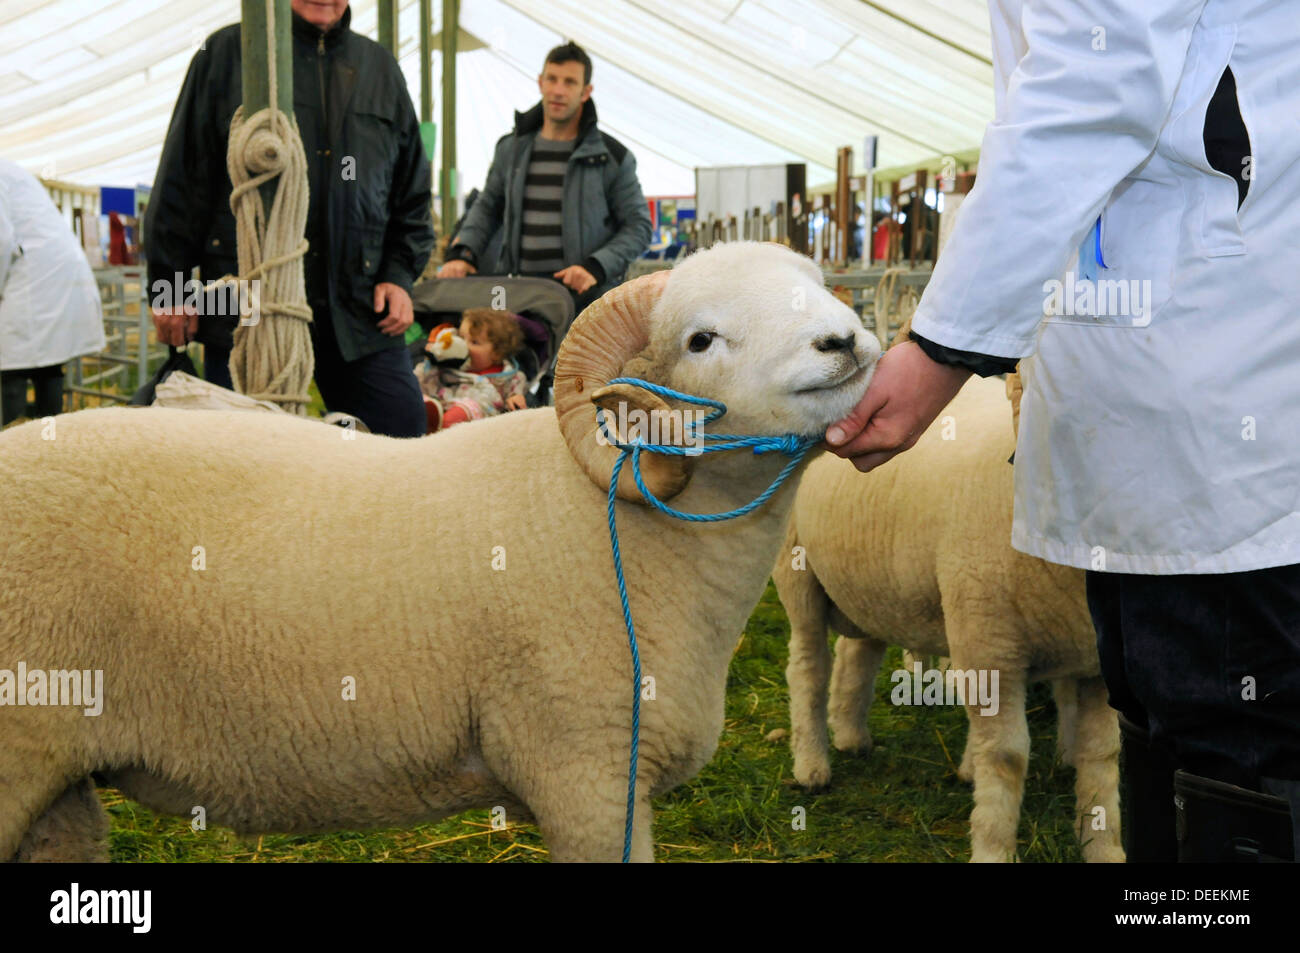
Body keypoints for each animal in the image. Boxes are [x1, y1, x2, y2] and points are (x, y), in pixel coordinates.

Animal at [772, 371, 1123, 863]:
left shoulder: (1094, 663)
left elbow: (1102, 756)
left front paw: (1104, 848)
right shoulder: (987, 643)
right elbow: (1006, 757)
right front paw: (993, 848)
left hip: (867, 578)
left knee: (857, 652)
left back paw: (850, 734)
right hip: (796, 570)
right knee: (808, 668)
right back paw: (812, 765)